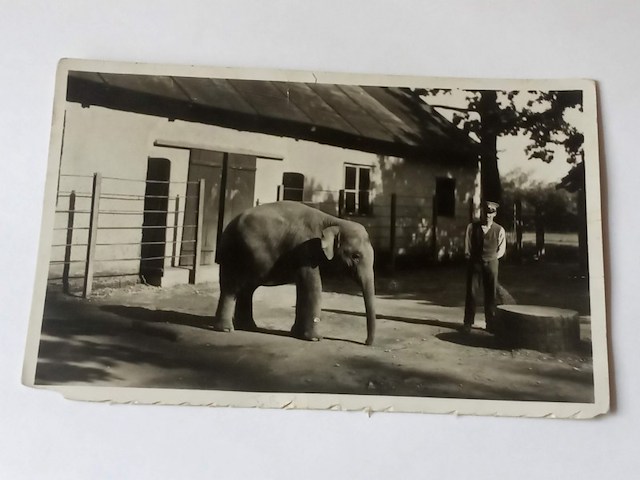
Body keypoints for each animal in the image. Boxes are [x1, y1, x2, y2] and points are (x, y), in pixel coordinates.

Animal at [212, 200, 378, 344]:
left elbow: (303, 286)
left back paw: (248, 327)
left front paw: (296, 334)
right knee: (231, 288)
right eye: (356, 256)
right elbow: (312, 286)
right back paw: (226, 329)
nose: (366, 342)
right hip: (234, 255)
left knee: (247, 289)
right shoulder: (305, 251)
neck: (333, 221)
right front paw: (316, 339)